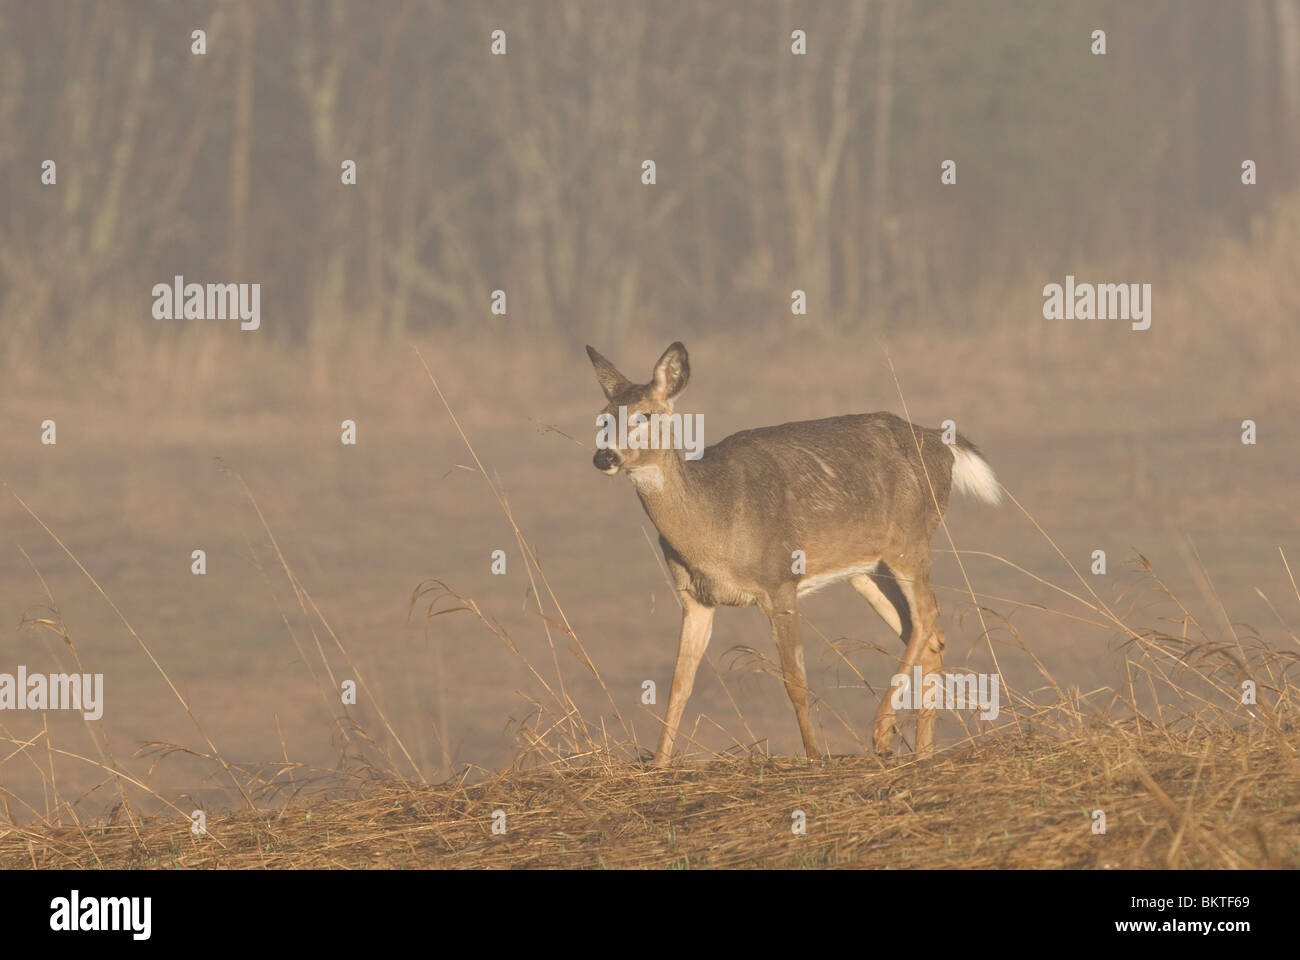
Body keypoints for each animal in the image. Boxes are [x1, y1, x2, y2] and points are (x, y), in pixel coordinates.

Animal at [586, 341, 1001, 766]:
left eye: (645, 415)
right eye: (603, 418)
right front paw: (659, 764)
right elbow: (679, 686)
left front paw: (815, 755)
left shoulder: (779, 582)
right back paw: (922, 751)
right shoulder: (694, 598)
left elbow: (795, 681)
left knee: (928, 613)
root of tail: (941, 443)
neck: (716, 520)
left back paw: (882, 731)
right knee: (931, 635)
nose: (605, 458)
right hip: (866, 569)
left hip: (910, 538)